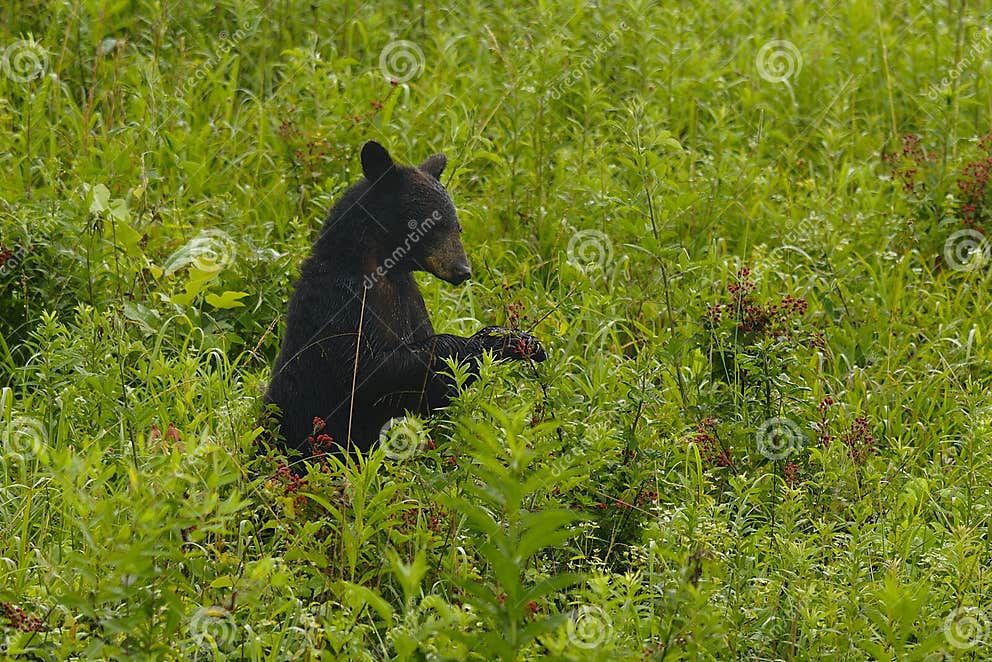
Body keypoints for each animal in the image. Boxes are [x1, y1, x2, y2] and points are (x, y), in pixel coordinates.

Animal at [263, 140, 547, 459]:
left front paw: (521, 341)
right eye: (424, 224)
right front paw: (490, 341)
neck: (384, 268)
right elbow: (369, 369)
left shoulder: (410, 298)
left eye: (457, 226)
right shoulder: (340, 303)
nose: (463, 270)